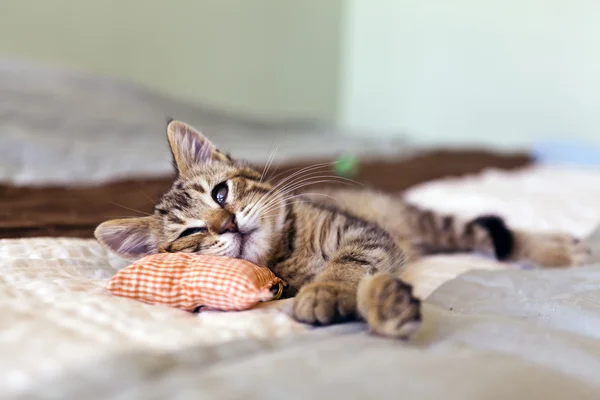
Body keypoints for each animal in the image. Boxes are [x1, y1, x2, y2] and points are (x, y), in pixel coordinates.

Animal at [94, 119, 592, 338]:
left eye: (220, 193)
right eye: (188, 234)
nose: (228, 222)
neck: (287, 250)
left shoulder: (364, 235)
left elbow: (349, 262)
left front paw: (331, 290)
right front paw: (380, 305)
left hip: (428, 222)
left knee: (487, 234)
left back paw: (560, 250)